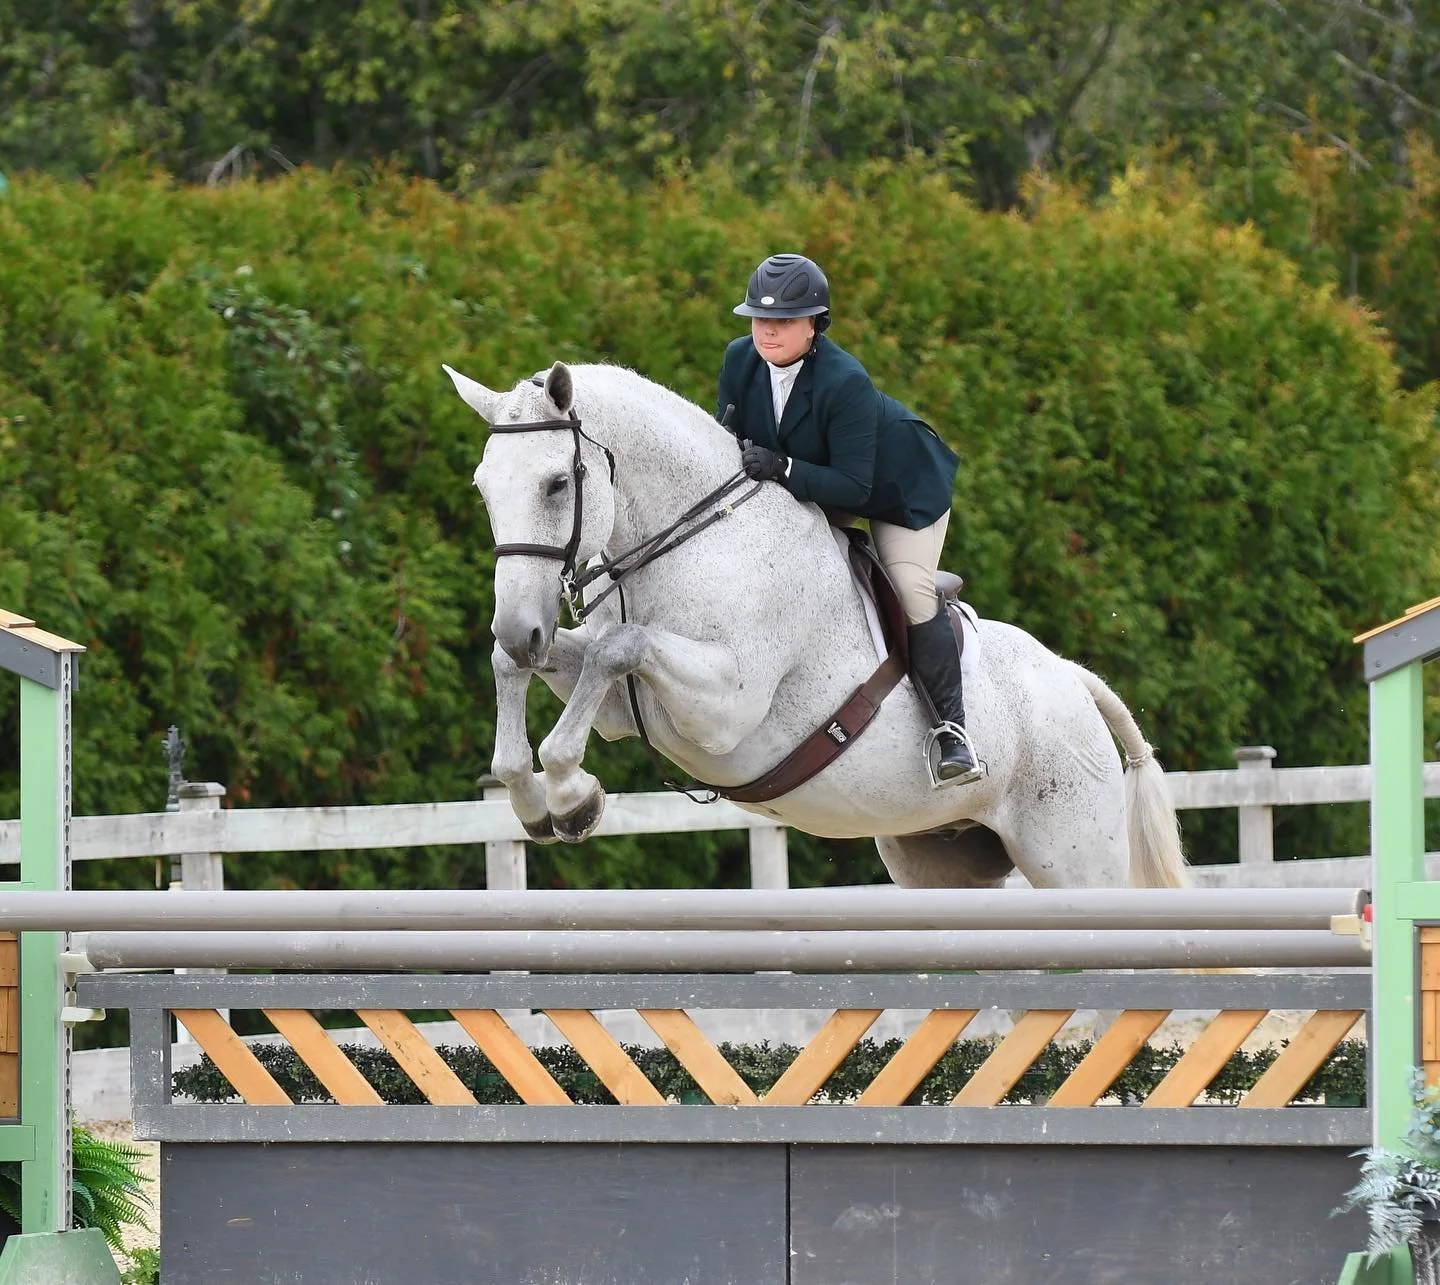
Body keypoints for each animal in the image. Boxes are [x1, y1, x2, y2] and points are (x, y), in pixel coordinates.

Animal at [446, 360, 1187, 891]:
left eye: (555, 484)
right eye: (482, 488)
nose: (521, 627)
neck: (692, 540)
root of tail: (1072, 680)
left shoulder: (727, 706)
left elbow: (618, 648)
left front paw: (572, 798)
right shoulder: (621, 710)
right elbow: (532, 665)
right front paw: (532, 798)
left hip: (1074, 858)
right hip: (940, 861)